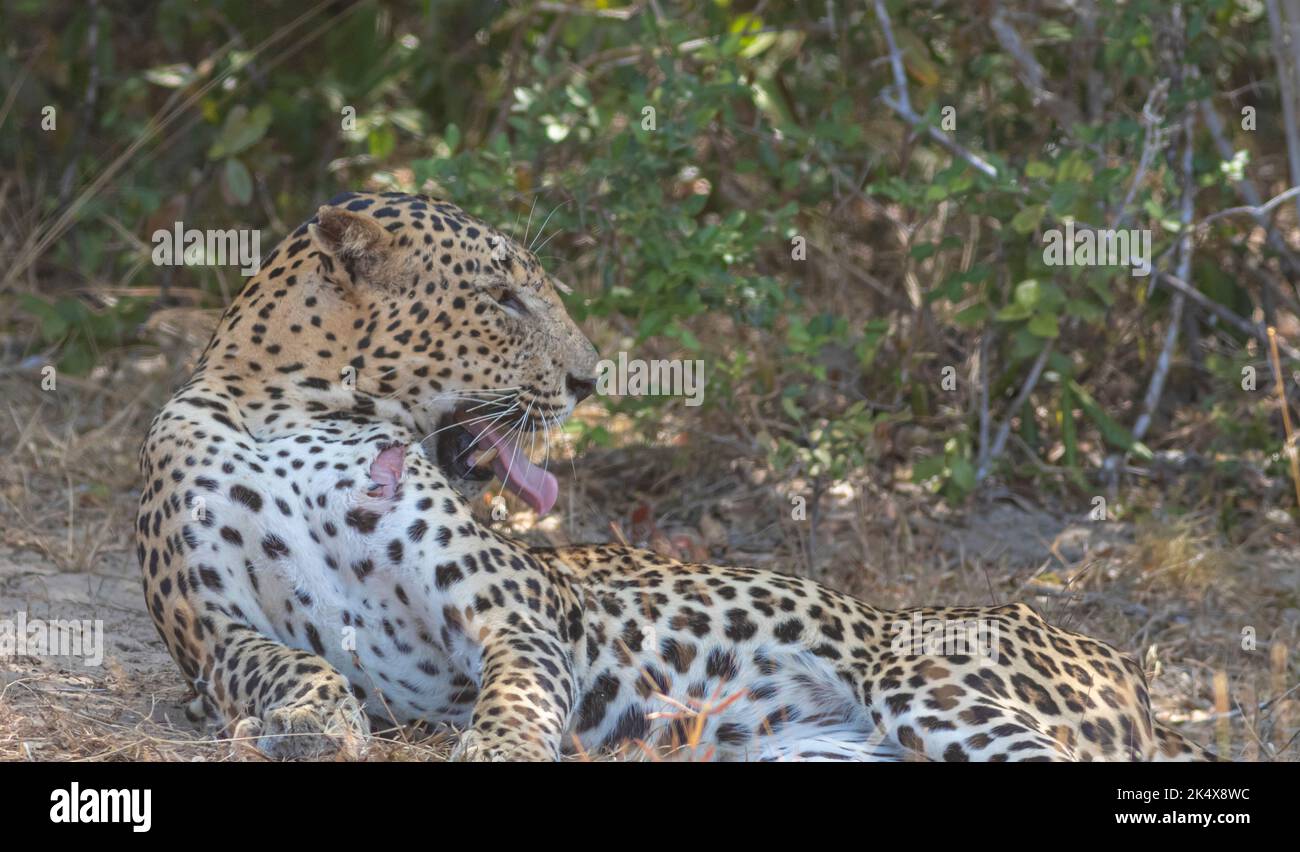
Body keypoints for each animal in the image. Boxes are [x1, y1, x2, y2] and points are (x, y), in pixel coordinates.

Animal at [135, 191, 1214, 761]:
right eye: (502, 298)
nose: (588, 379)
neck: (297, 410)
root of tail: (1125, 663)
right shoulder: (210, 631)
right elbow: (288, 661)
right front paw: (311, 721)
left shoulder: (513, 612)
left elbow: (515, 703)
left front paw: (492, 747)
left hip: (924, 676)